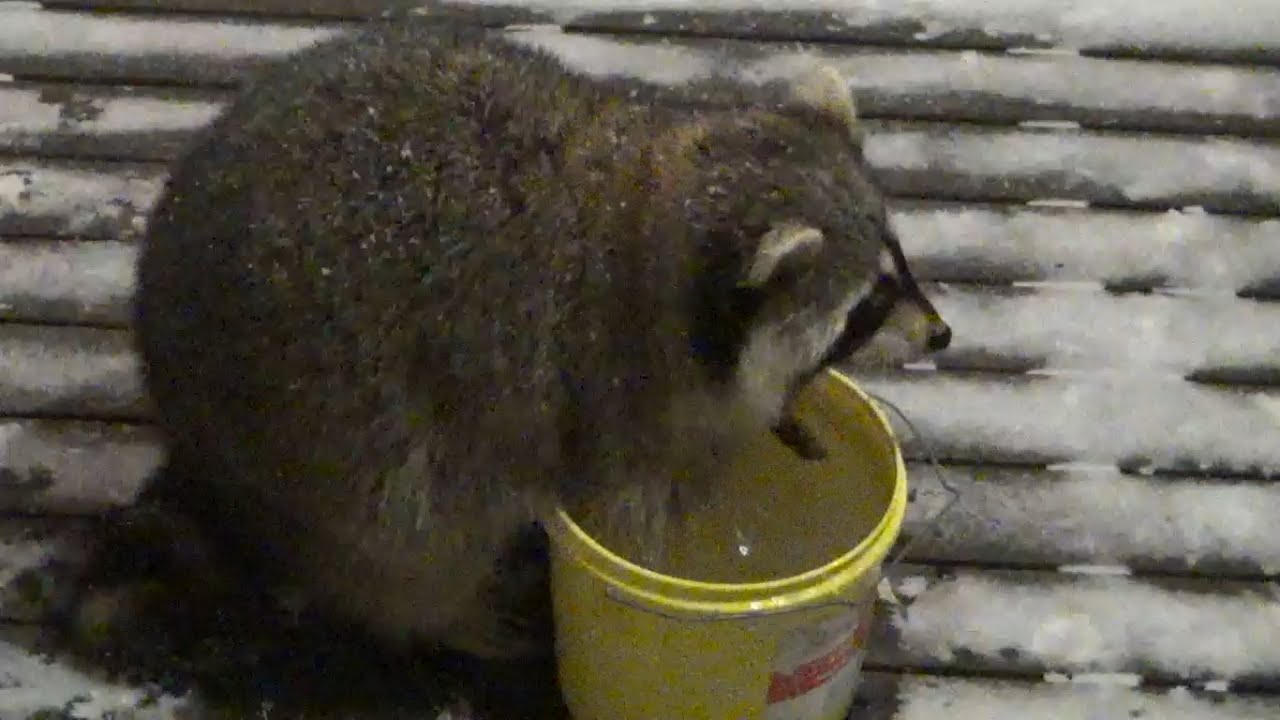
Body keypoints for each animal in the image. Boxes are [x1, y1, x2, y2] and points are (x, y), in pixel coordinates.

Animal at [75, 19, 949, 672]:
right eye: (869, 303)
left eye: (899, 262)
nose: (941, 333)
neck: (657, 207)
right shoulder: (609, 390)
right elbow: (630, 517)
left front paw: (779, 415)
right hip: (320, 447)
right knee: (411, 536)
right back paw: (440, 613)